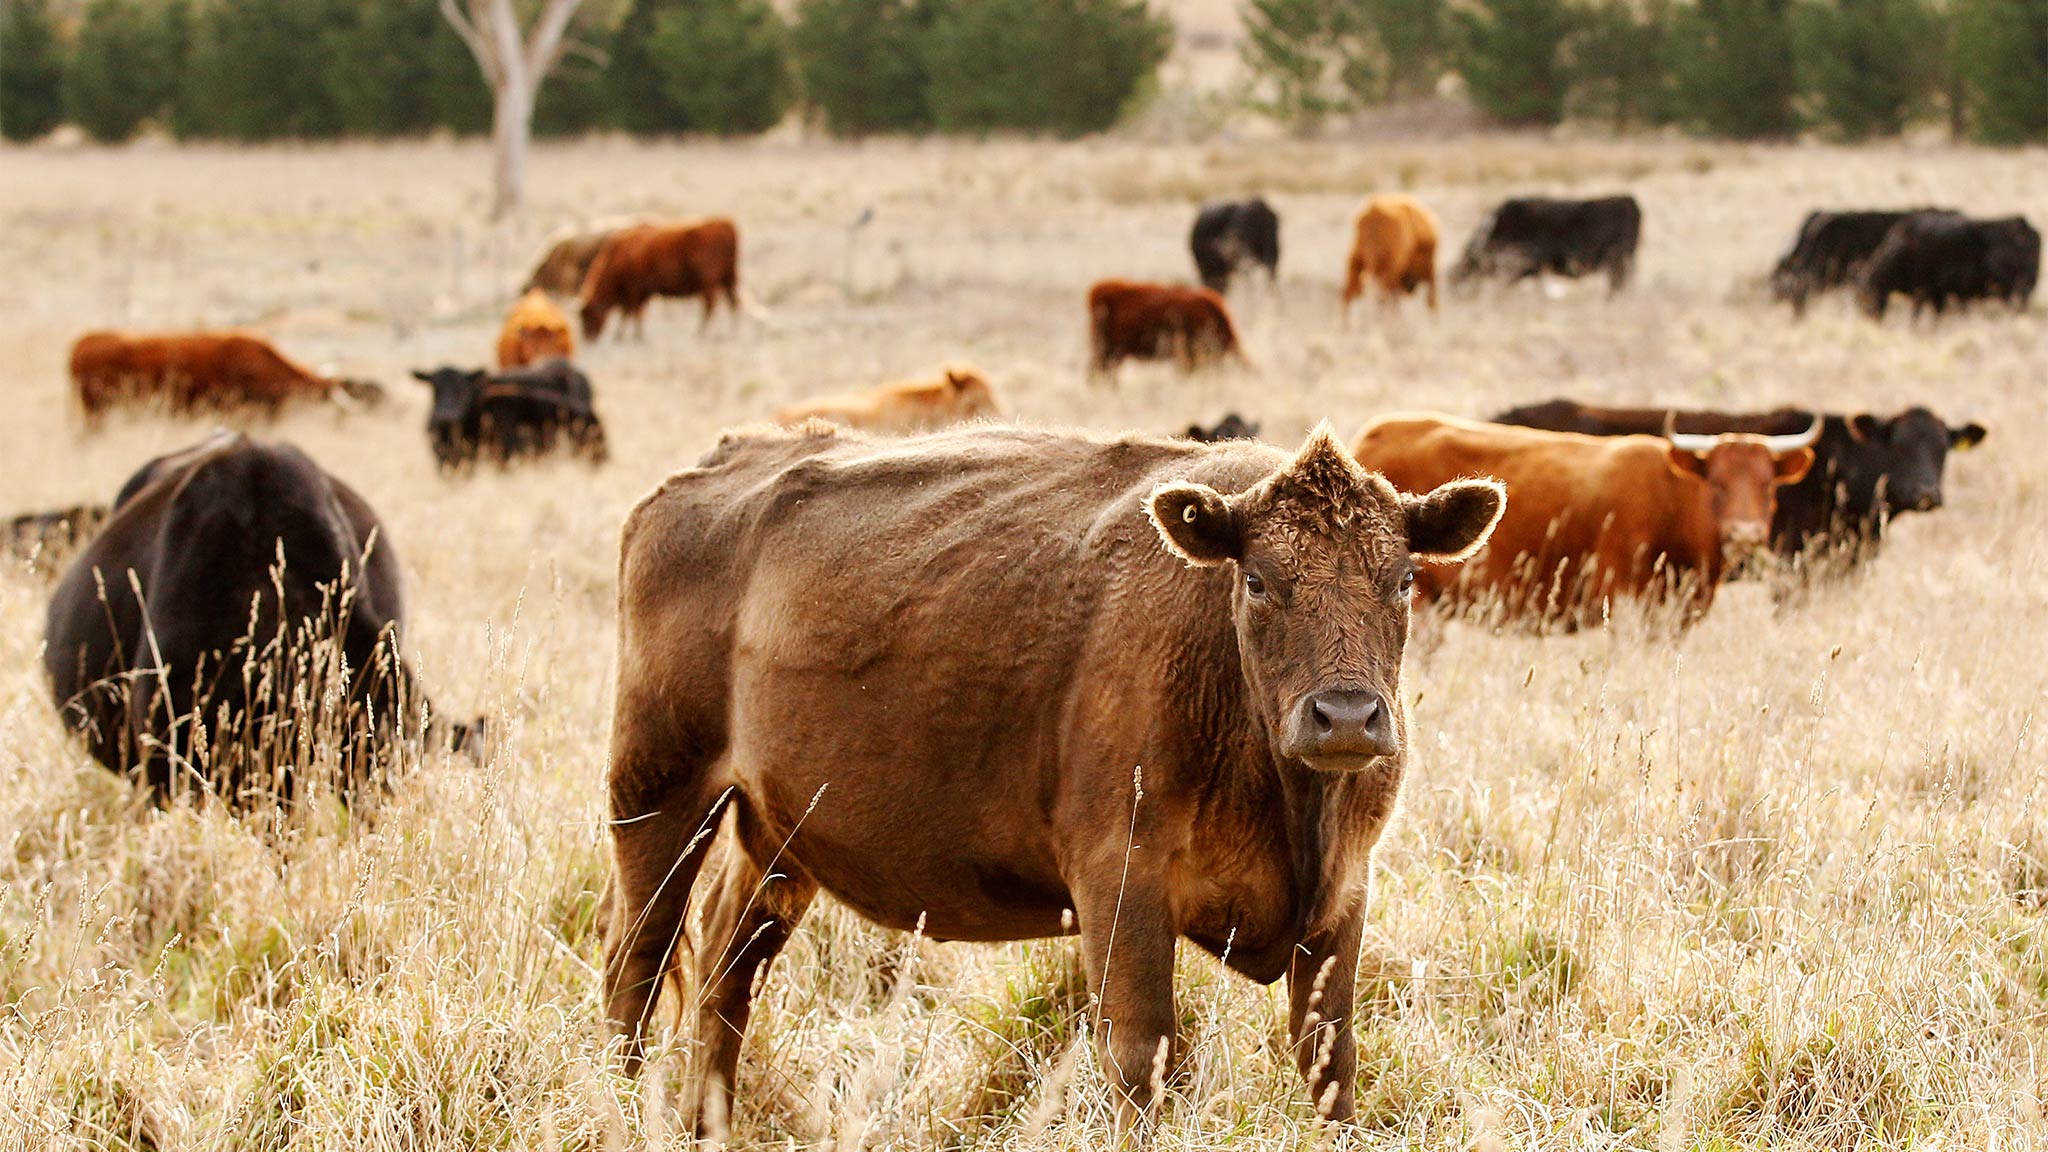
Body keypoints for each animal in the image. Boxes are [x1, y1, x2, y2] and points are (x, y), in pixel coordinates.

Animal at [579, 218, 742, 340]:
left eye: (588, 316)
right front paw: (628, 335)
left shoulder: (634, 291)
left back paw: (702, 333)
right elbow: (632, 313)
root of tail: (725, 224)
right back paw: (731, 332)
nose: (588, 338)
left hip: (709, 283)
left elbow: (632, 313)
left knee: (711, 306)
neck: (621, 254)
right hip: (727, 280)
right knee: (732, 303)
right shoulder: (639, 294)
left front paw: (630, 336)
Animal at [600, 423, 1504, 1133]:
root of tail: (708, 471)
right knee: (637, 963)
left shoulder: (1344, 895)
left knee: (725, 971)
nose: (1346, 716)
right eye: (1257, 580)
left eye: (1404, 578)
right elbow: (1142, 1058)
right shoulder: (1122, 884)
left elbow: (1331, 1062)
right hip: (658, 794)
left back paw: (708, 1126)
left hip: (779, 838)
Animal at [1860, 213, 2042, 319]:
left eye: (1867, 294)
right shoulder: (1937, 292)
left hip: (2017, 287)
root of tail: (2025, 227)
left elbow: (1918, 313)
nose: (1870, 318)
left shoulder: (1926, 289)